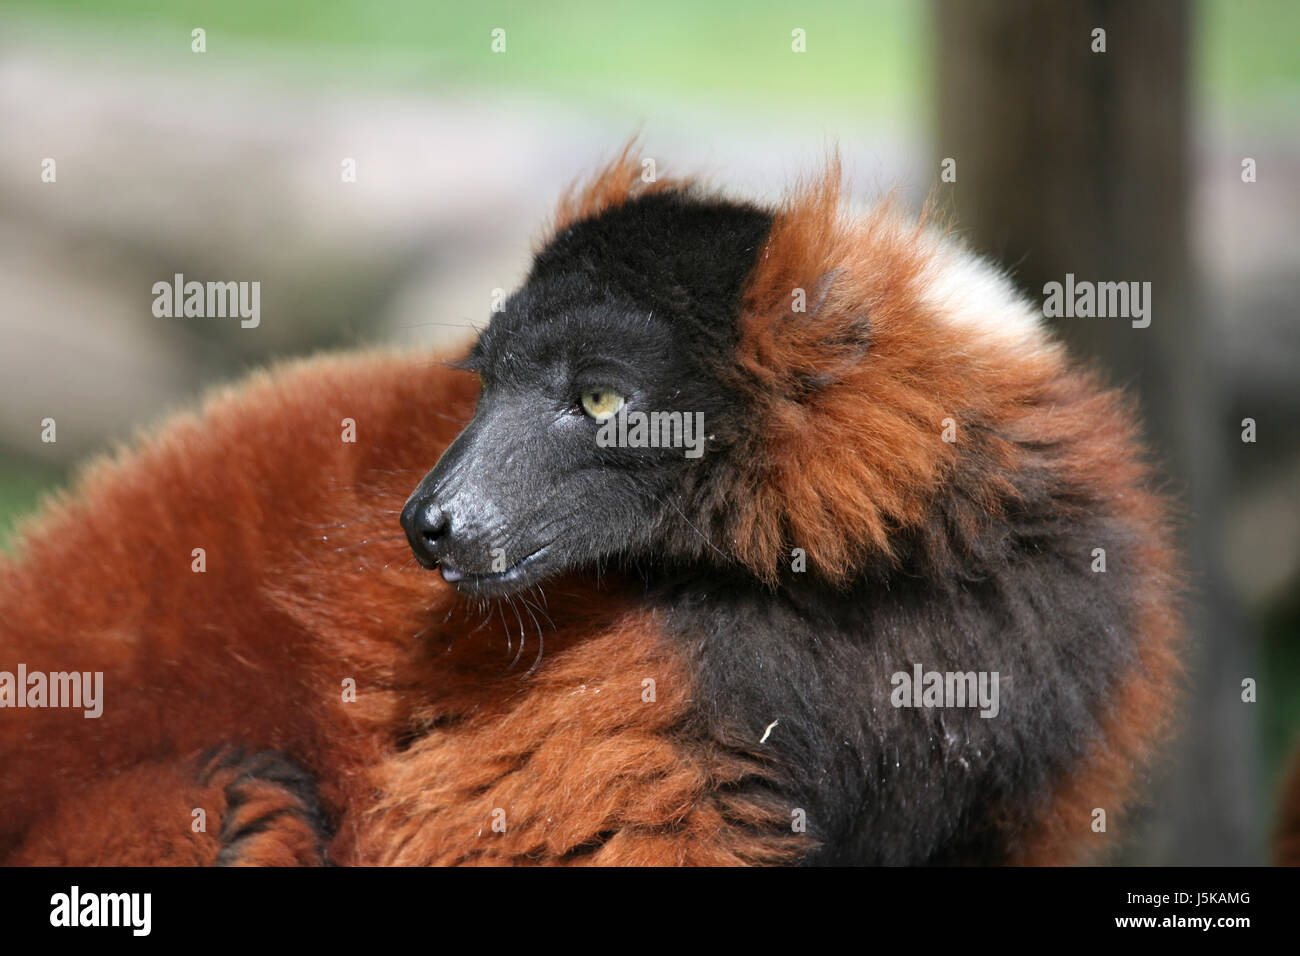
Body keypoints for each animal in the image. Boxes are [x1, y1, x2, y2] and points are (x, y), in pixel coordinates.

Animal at [0, 146, 1182, 865]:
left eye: (602, 400)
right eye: (485, 384)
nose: (428, 520)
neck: (834, 577)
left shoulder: (1037, 635)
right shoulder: (644, 688)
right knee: (247, 796)